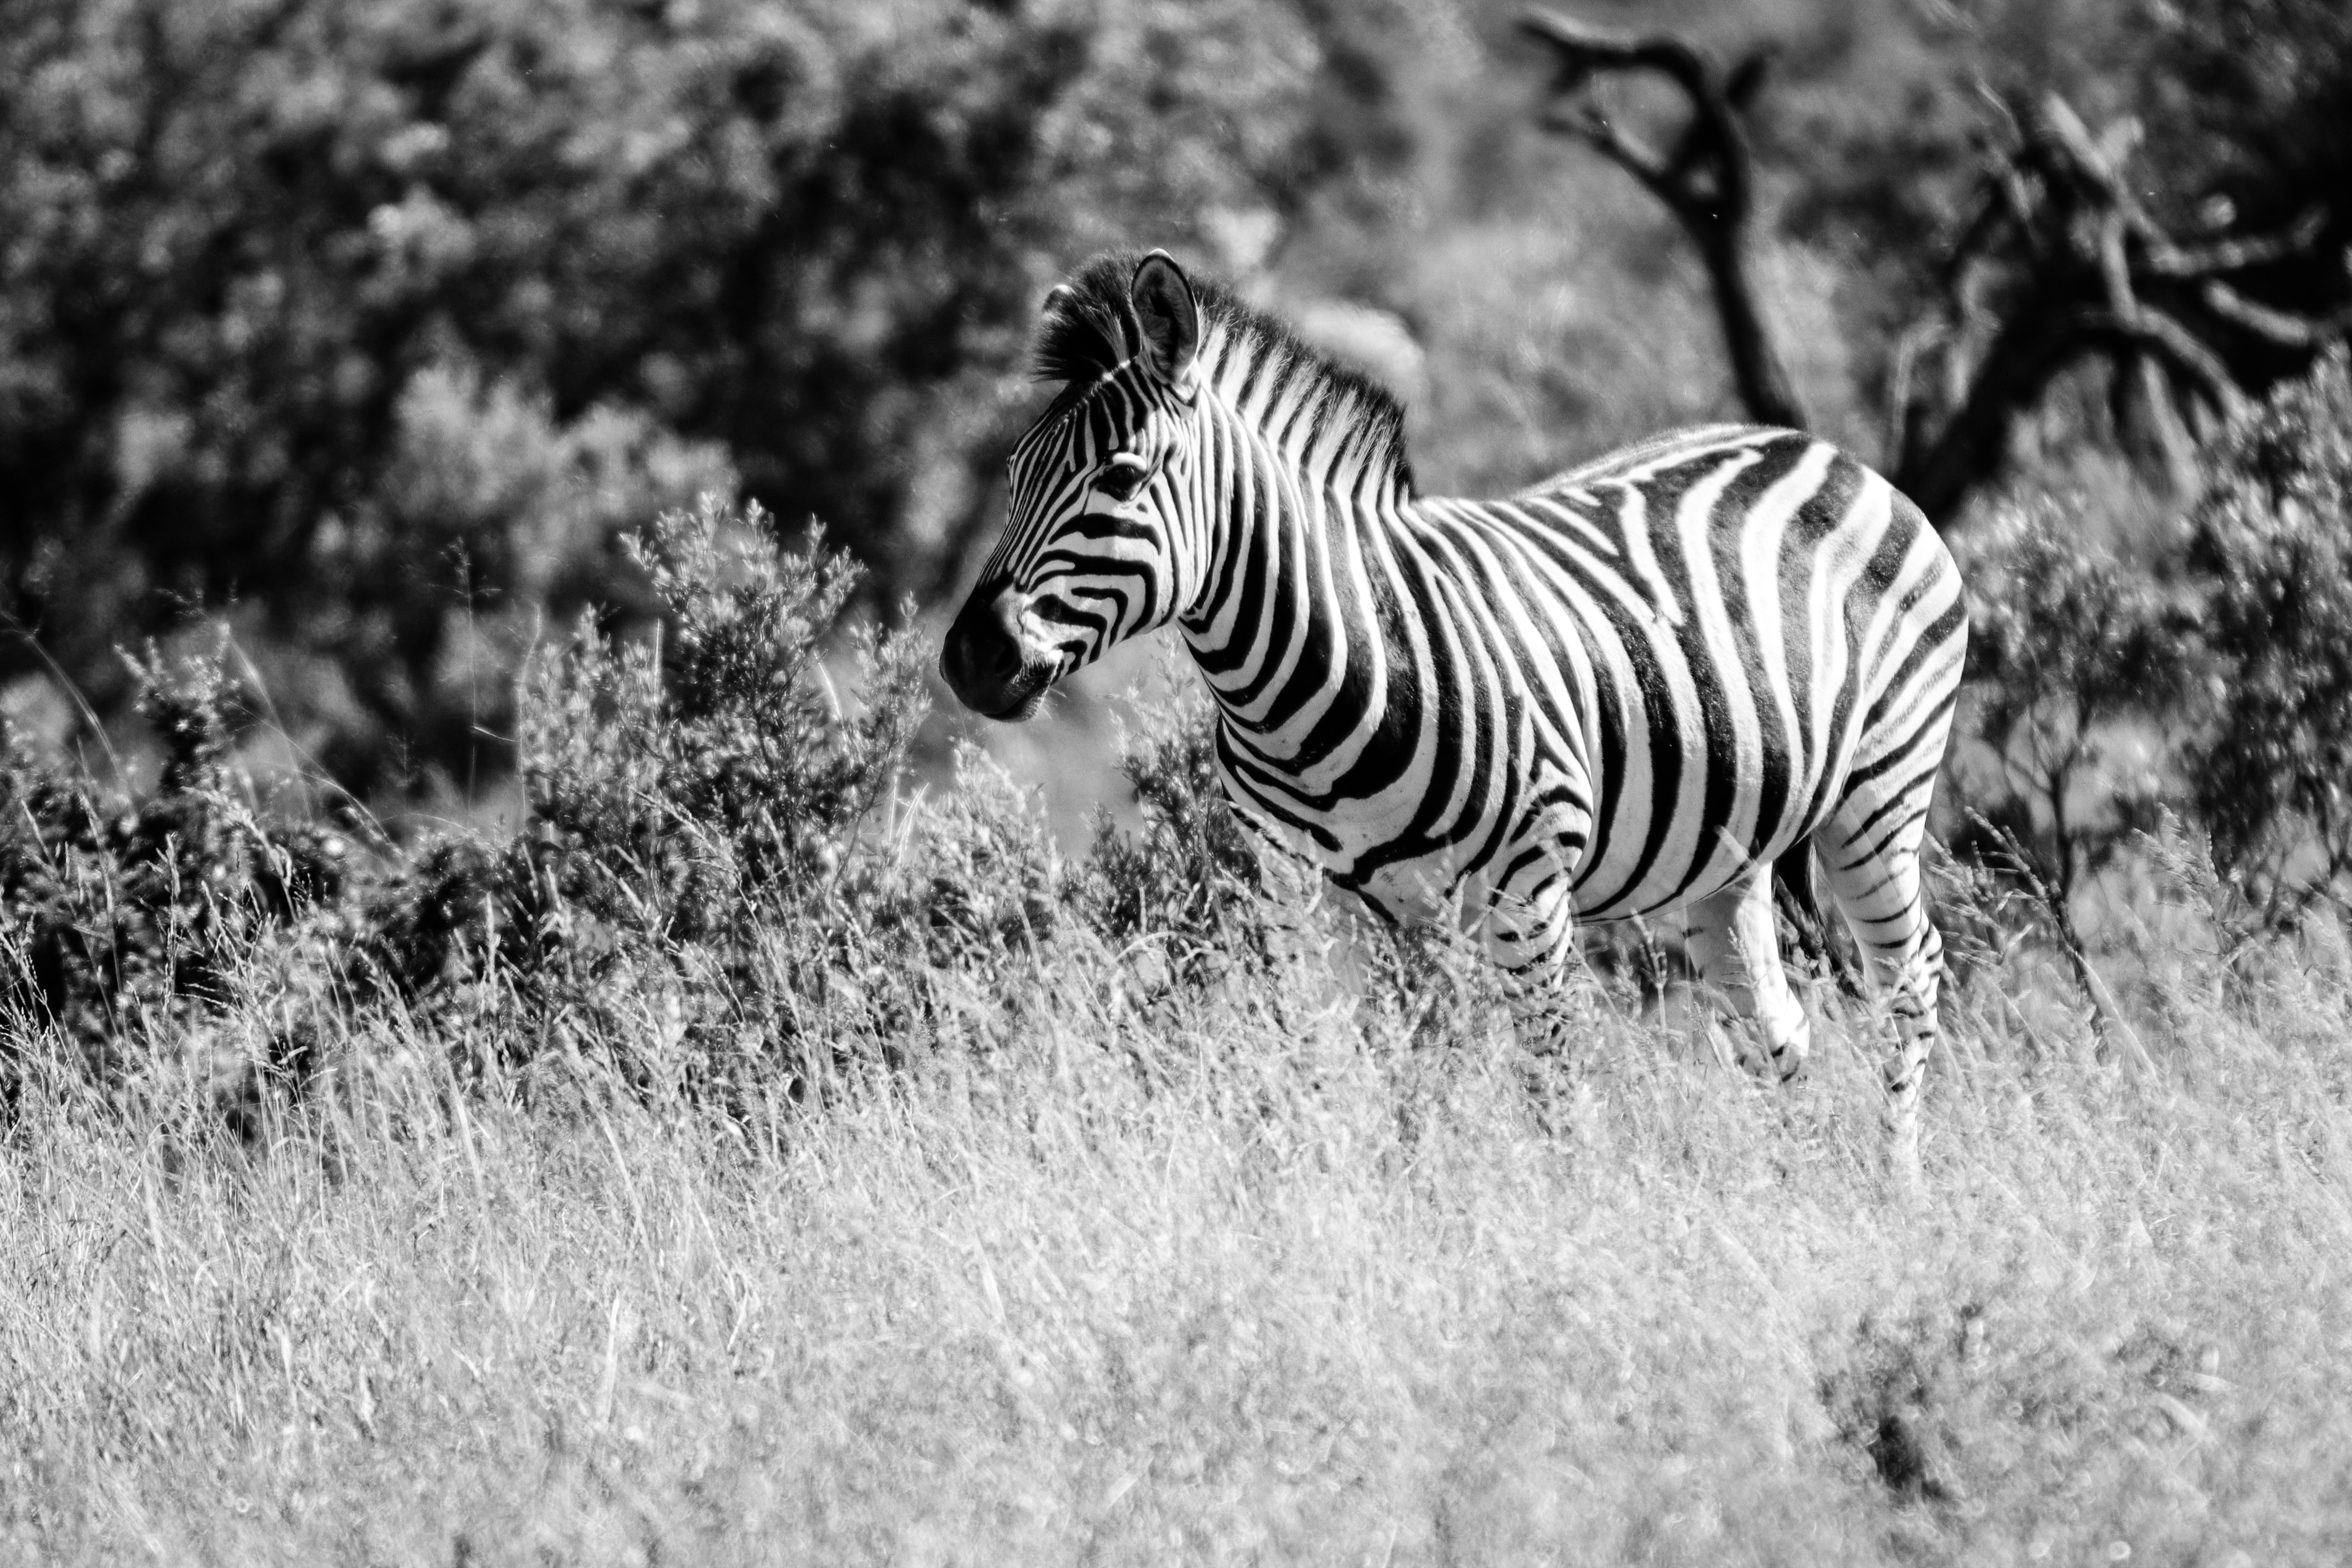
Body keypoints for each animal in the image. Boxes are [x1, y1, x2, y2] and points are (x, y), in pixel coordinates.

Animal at [942, 249, 1968, 1170]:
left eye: (1120, 477)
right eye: (1015, 471)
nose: (969, 659)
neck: (1306, 688)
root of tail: (1823, 449)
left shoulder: (1530, 893)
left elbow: (1551, 1091)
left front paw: (1563, 1225)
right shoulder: (1300, 901)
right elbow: (1336, 1077)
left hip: (1880, 794)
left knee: (1908, 977)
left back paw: (1894, 1188)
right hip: (1731, 845)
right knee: (1773, 1029)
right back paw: (1791, 1191)